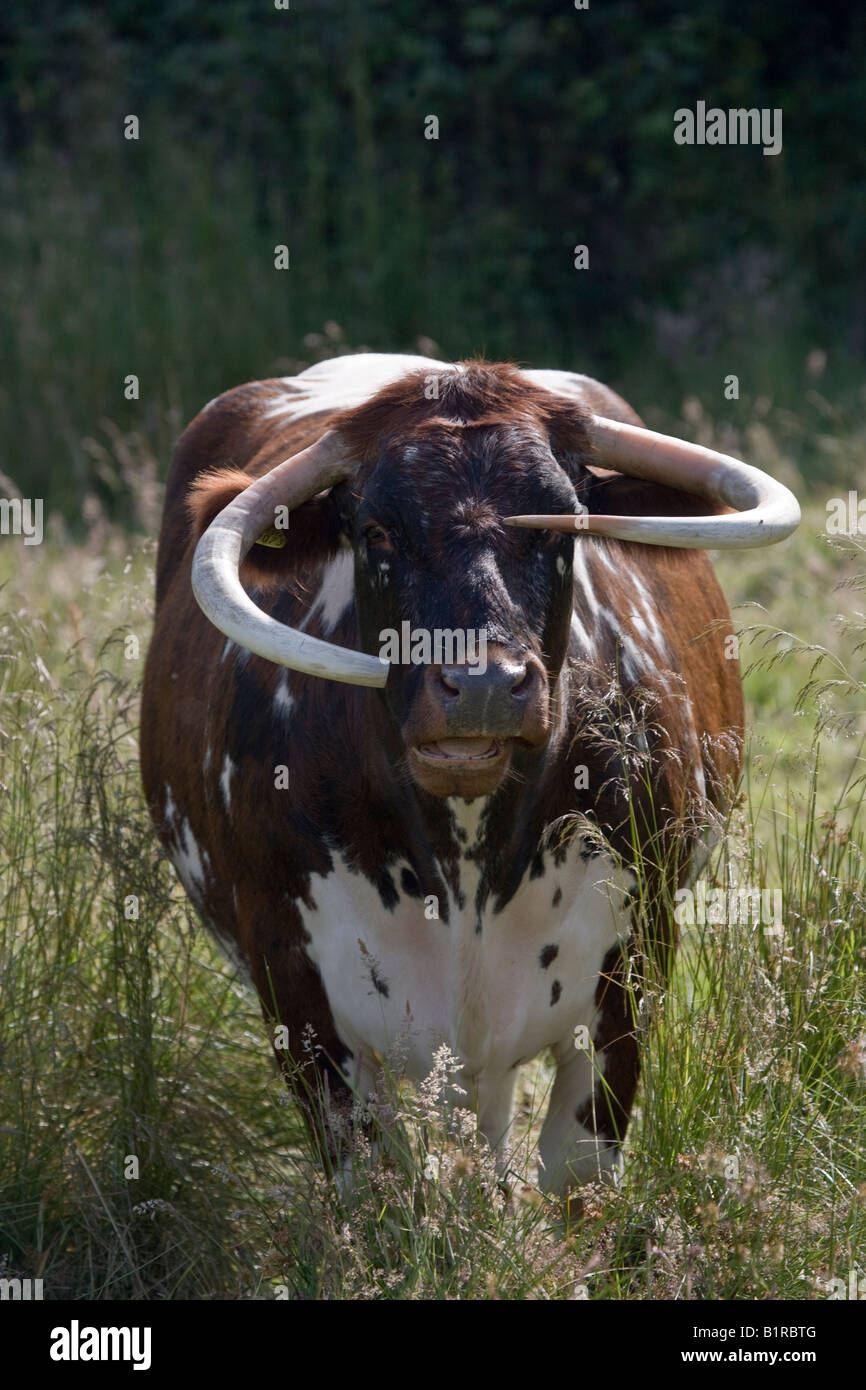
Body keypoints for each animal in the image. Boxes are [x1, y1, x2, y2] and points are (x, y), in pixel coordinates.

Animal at [140, 353, 799, 1193]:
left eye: (565, 523)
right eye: (376, 530)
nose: (484, 686)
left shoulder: (633, 968)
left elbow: (575, 1173)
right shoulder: (297, 999)